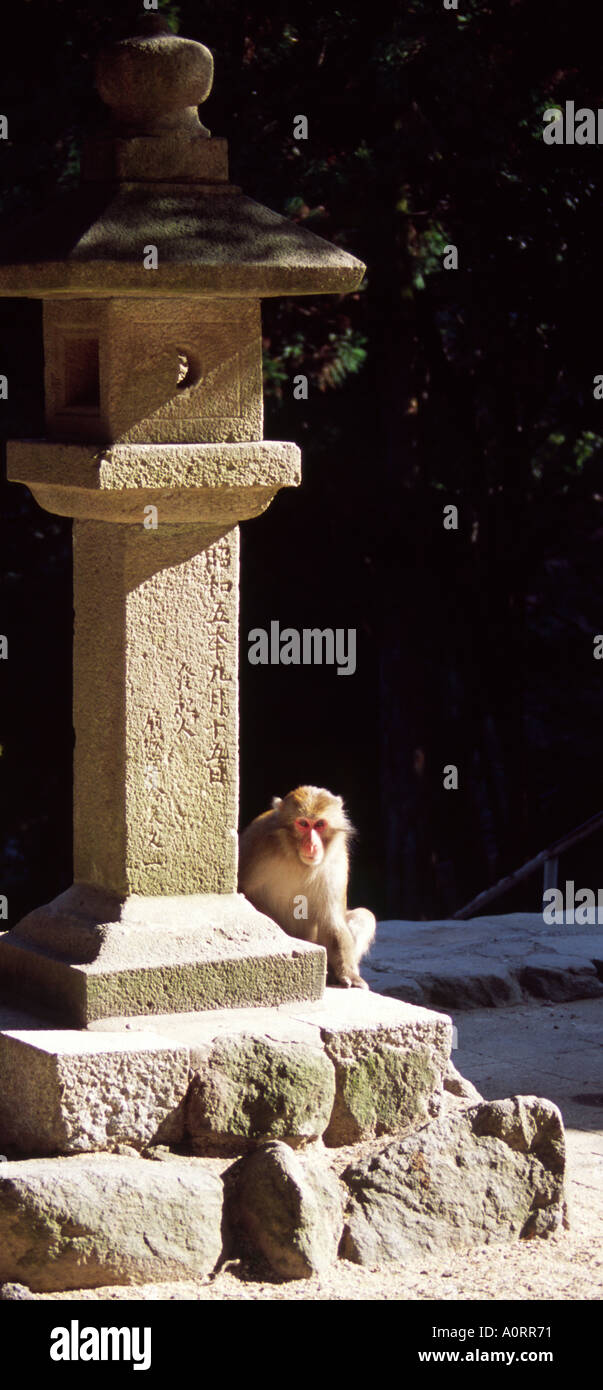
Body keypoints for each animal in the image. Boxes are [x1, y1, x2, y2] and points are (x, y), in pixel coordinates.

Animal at [238, 785, 376, 989]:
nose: (312, 845)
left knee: (365, 915)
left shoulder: (337, 858)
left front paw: (348, 973)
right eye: (303, 823)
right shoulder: (257, 840)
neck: (296, 858)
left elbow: (331, 920)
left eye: (319, 824)